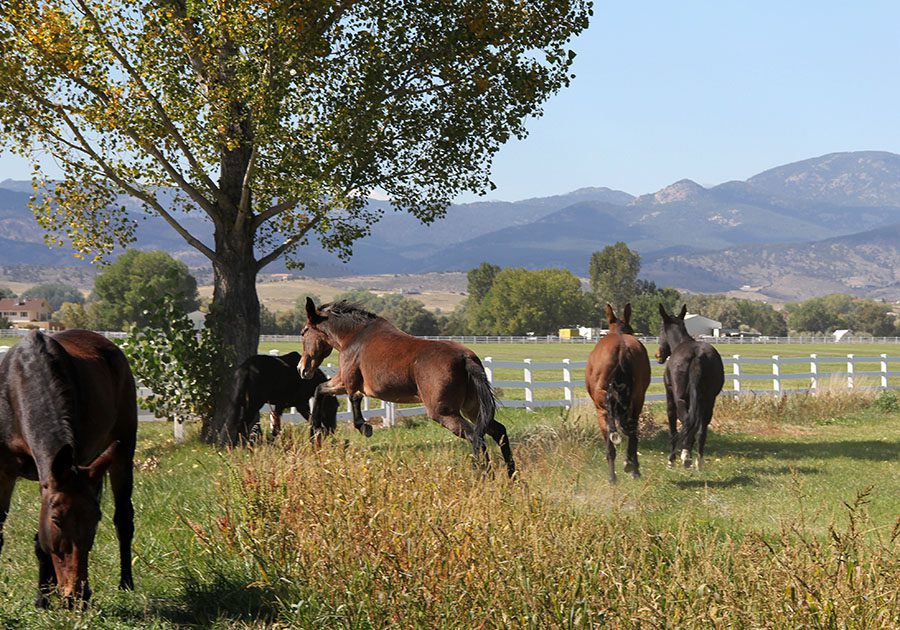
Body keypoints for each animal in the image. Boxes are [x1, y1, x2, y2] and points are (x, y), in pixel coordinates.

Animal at [0, 329, 136, 608]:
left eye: (95, 519)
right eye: (56, 519)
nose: (77, 596)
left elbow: (41, 544)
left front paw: (42, 598)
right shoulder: (4, 472)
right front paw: (44, 597)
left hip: (123, 450)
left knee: (124, 519)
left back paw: (126, 584)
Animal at [298, 298, 516, 477]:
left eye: (303, 332)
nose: (302, 369)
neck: (354, 336)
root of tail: (465, 358)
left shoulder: (348, 381)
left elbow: (352, 399)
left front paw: (363, 427)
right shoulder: (341, 382)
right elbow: (320, 389)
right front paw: (315, 435)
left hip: (444, 413)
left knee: (475, 437)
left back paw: (484, 475)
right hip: (472, 408)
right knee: (498, 432)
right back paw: (511, 476)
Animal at [585, 304, 651, 483]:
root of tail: (621, 348)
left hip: (605, 409)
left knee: (615, 438)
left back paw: (618, 474)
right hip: (635, 400)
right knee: (632, 431)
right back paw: (630, 468)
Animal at [656, 304, 724, 469]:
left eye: (661, 329)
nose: (658, 355)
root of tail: (697, 355)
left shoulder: (670, 396)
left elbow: (673, 425)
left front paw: (672, 460)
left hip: (681, 399)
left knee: (686, 421)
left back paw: (684, 456)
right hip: (708, 400)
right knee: (701, 428)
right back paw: (698, 461)